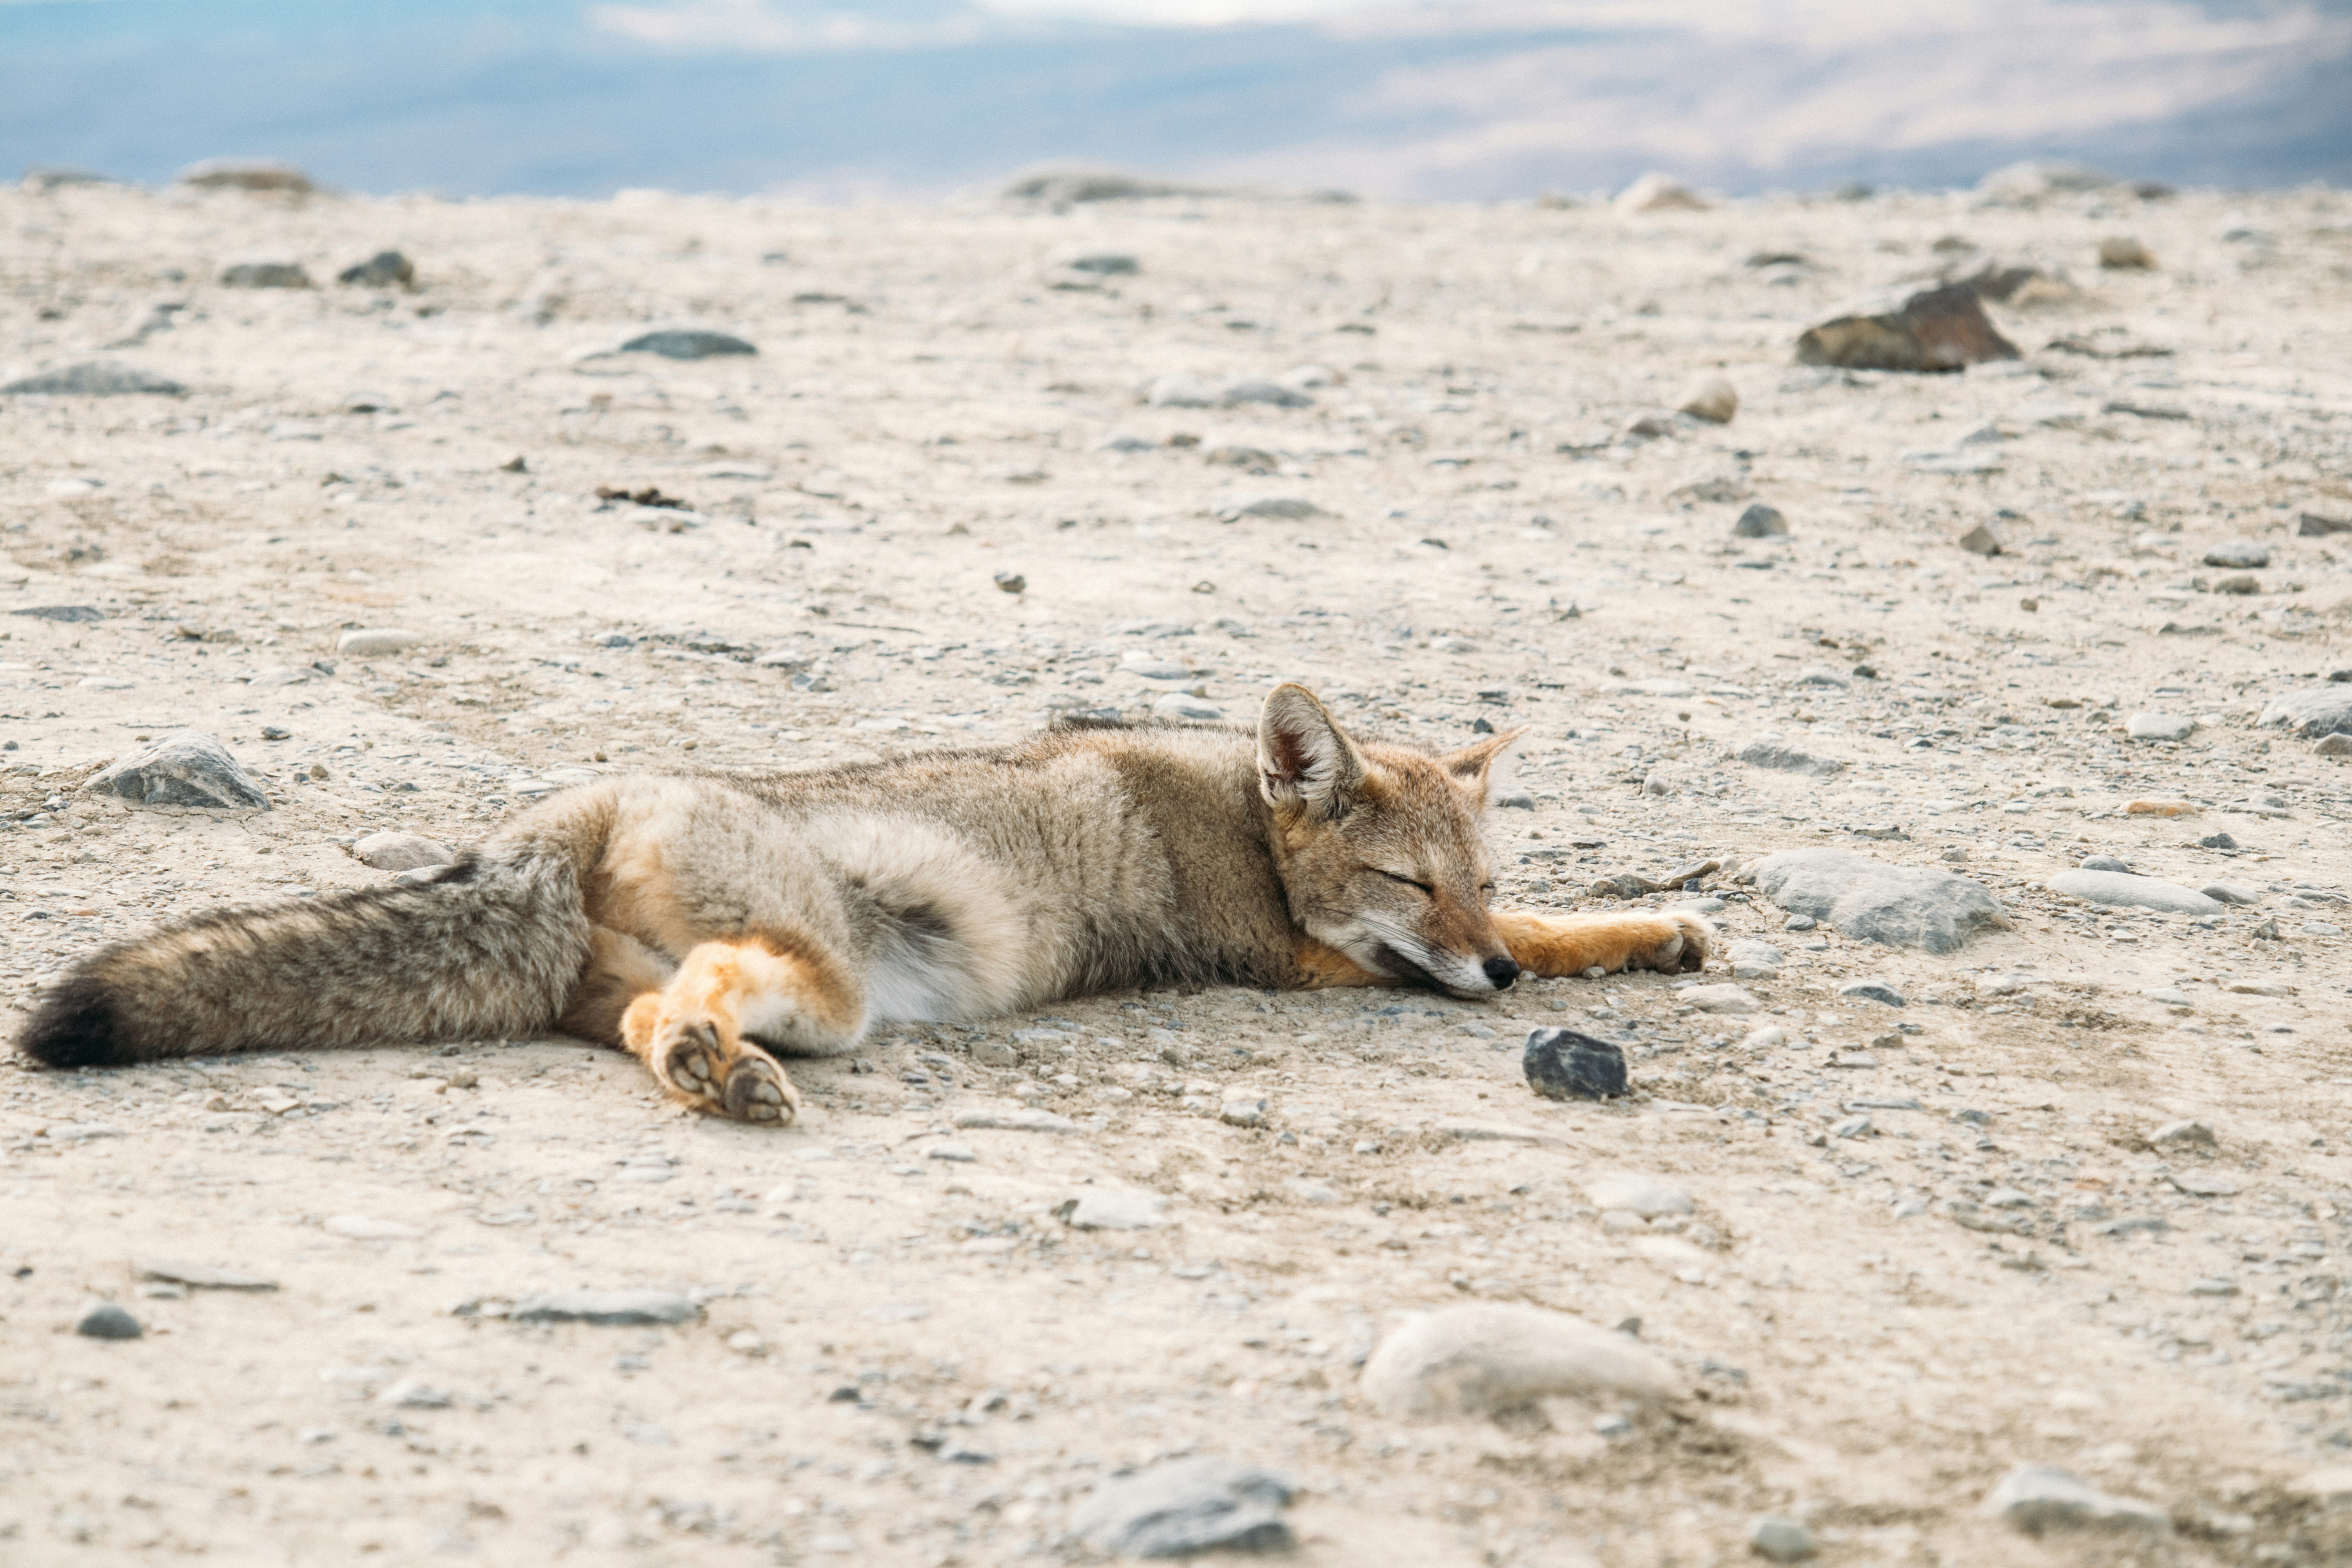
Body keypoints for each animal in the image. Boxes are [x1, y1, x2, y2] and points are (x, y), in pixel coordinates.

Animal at [16, 684, 1708, 1122]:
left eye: (1476, 876)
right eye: (1411, 885)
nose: (1486, 982)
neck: (1236, 803)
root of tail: (577, 802)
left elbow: (1570, 920)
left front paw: (1642, 930)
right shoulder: (1297, 959)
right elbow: (1556, 941)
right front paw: (1617, 938)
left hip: (730, 981)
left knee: (643, 1010)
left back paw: (699, 1068)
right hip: (824, 983)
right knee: (701, 986)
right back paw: (725, 1074)